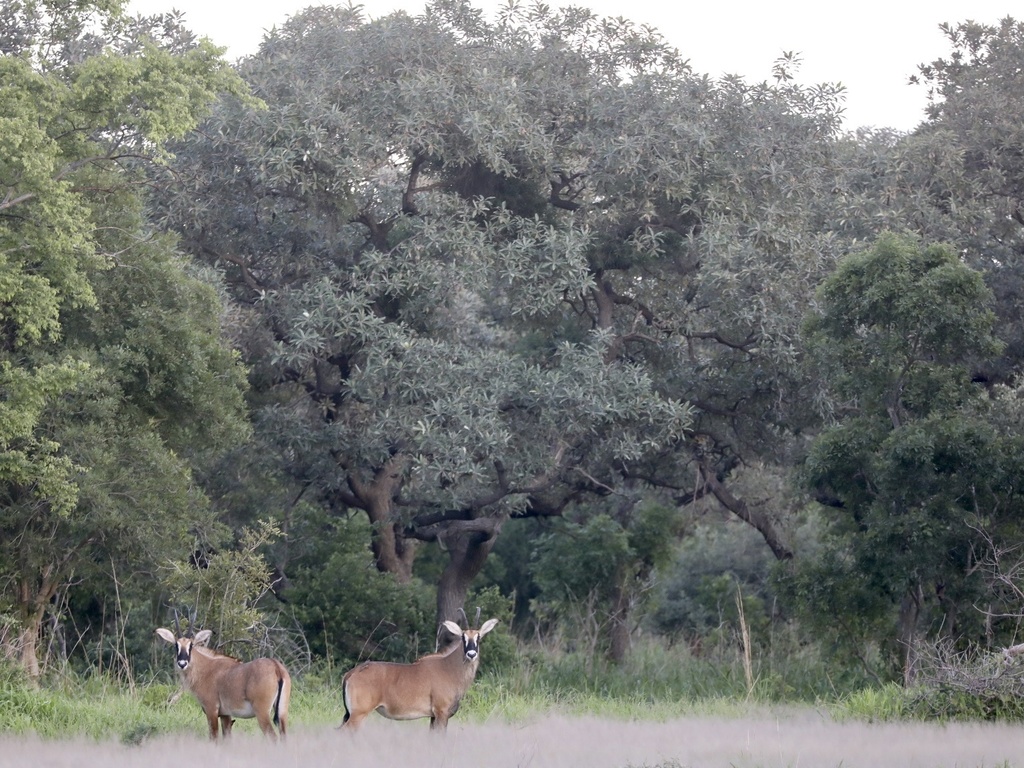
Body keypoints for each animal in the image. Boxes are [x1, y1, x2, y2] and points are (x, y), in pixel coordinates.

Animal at [156, 619, 291, 741]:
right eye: (176, 645)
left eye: (191, 645)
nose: (182, 663)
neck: (205, 669)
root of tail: (276, 667)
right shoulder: (226, 715)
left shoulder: (211, 710)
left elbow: (214, 738)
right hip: (282, 713)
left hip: (262, 713)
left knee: (273, 738)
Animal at [339, 617, 499, 732]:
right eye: (463, 637)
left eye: (478, 637)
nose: (471, 654)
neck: (449, 668)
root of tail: (352, 673)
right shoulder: (442, 713)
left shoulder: (433, 717)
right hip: (358, 714)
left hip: (351, 714)